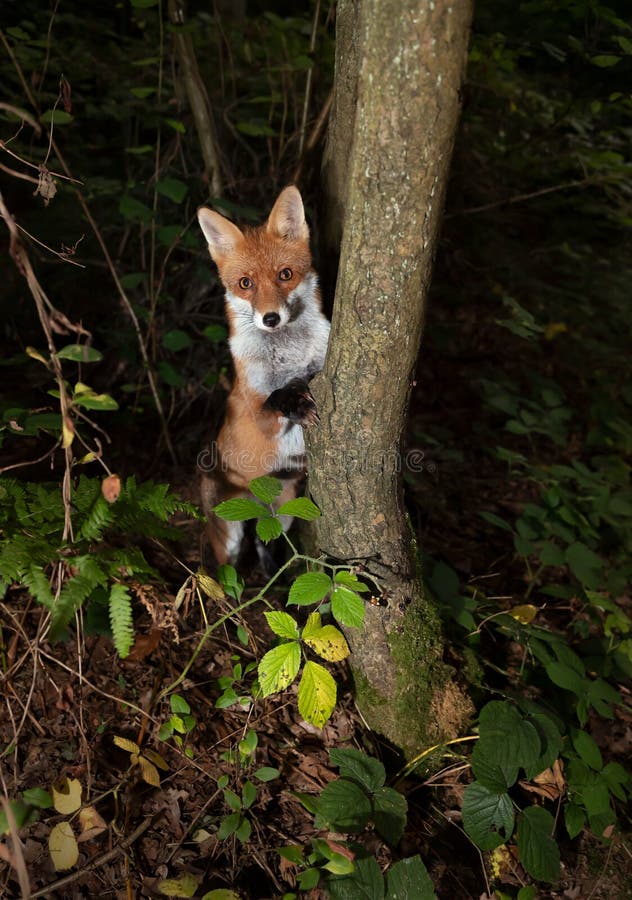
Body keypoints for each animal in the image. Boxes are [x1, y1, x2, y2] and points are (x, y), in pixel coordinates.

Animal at [197, 185, 330, 569]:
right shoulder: (258, 412)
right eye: (246, 283)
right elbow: (274, 398)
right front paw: (295, 400)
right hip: (228, 535)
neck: (287, 354)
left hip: (283, 513)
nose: (270, 318)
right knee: (227, 567)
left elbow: (310, 373)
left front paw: (302, 385)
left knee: (265, 541)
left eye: (285, 274)